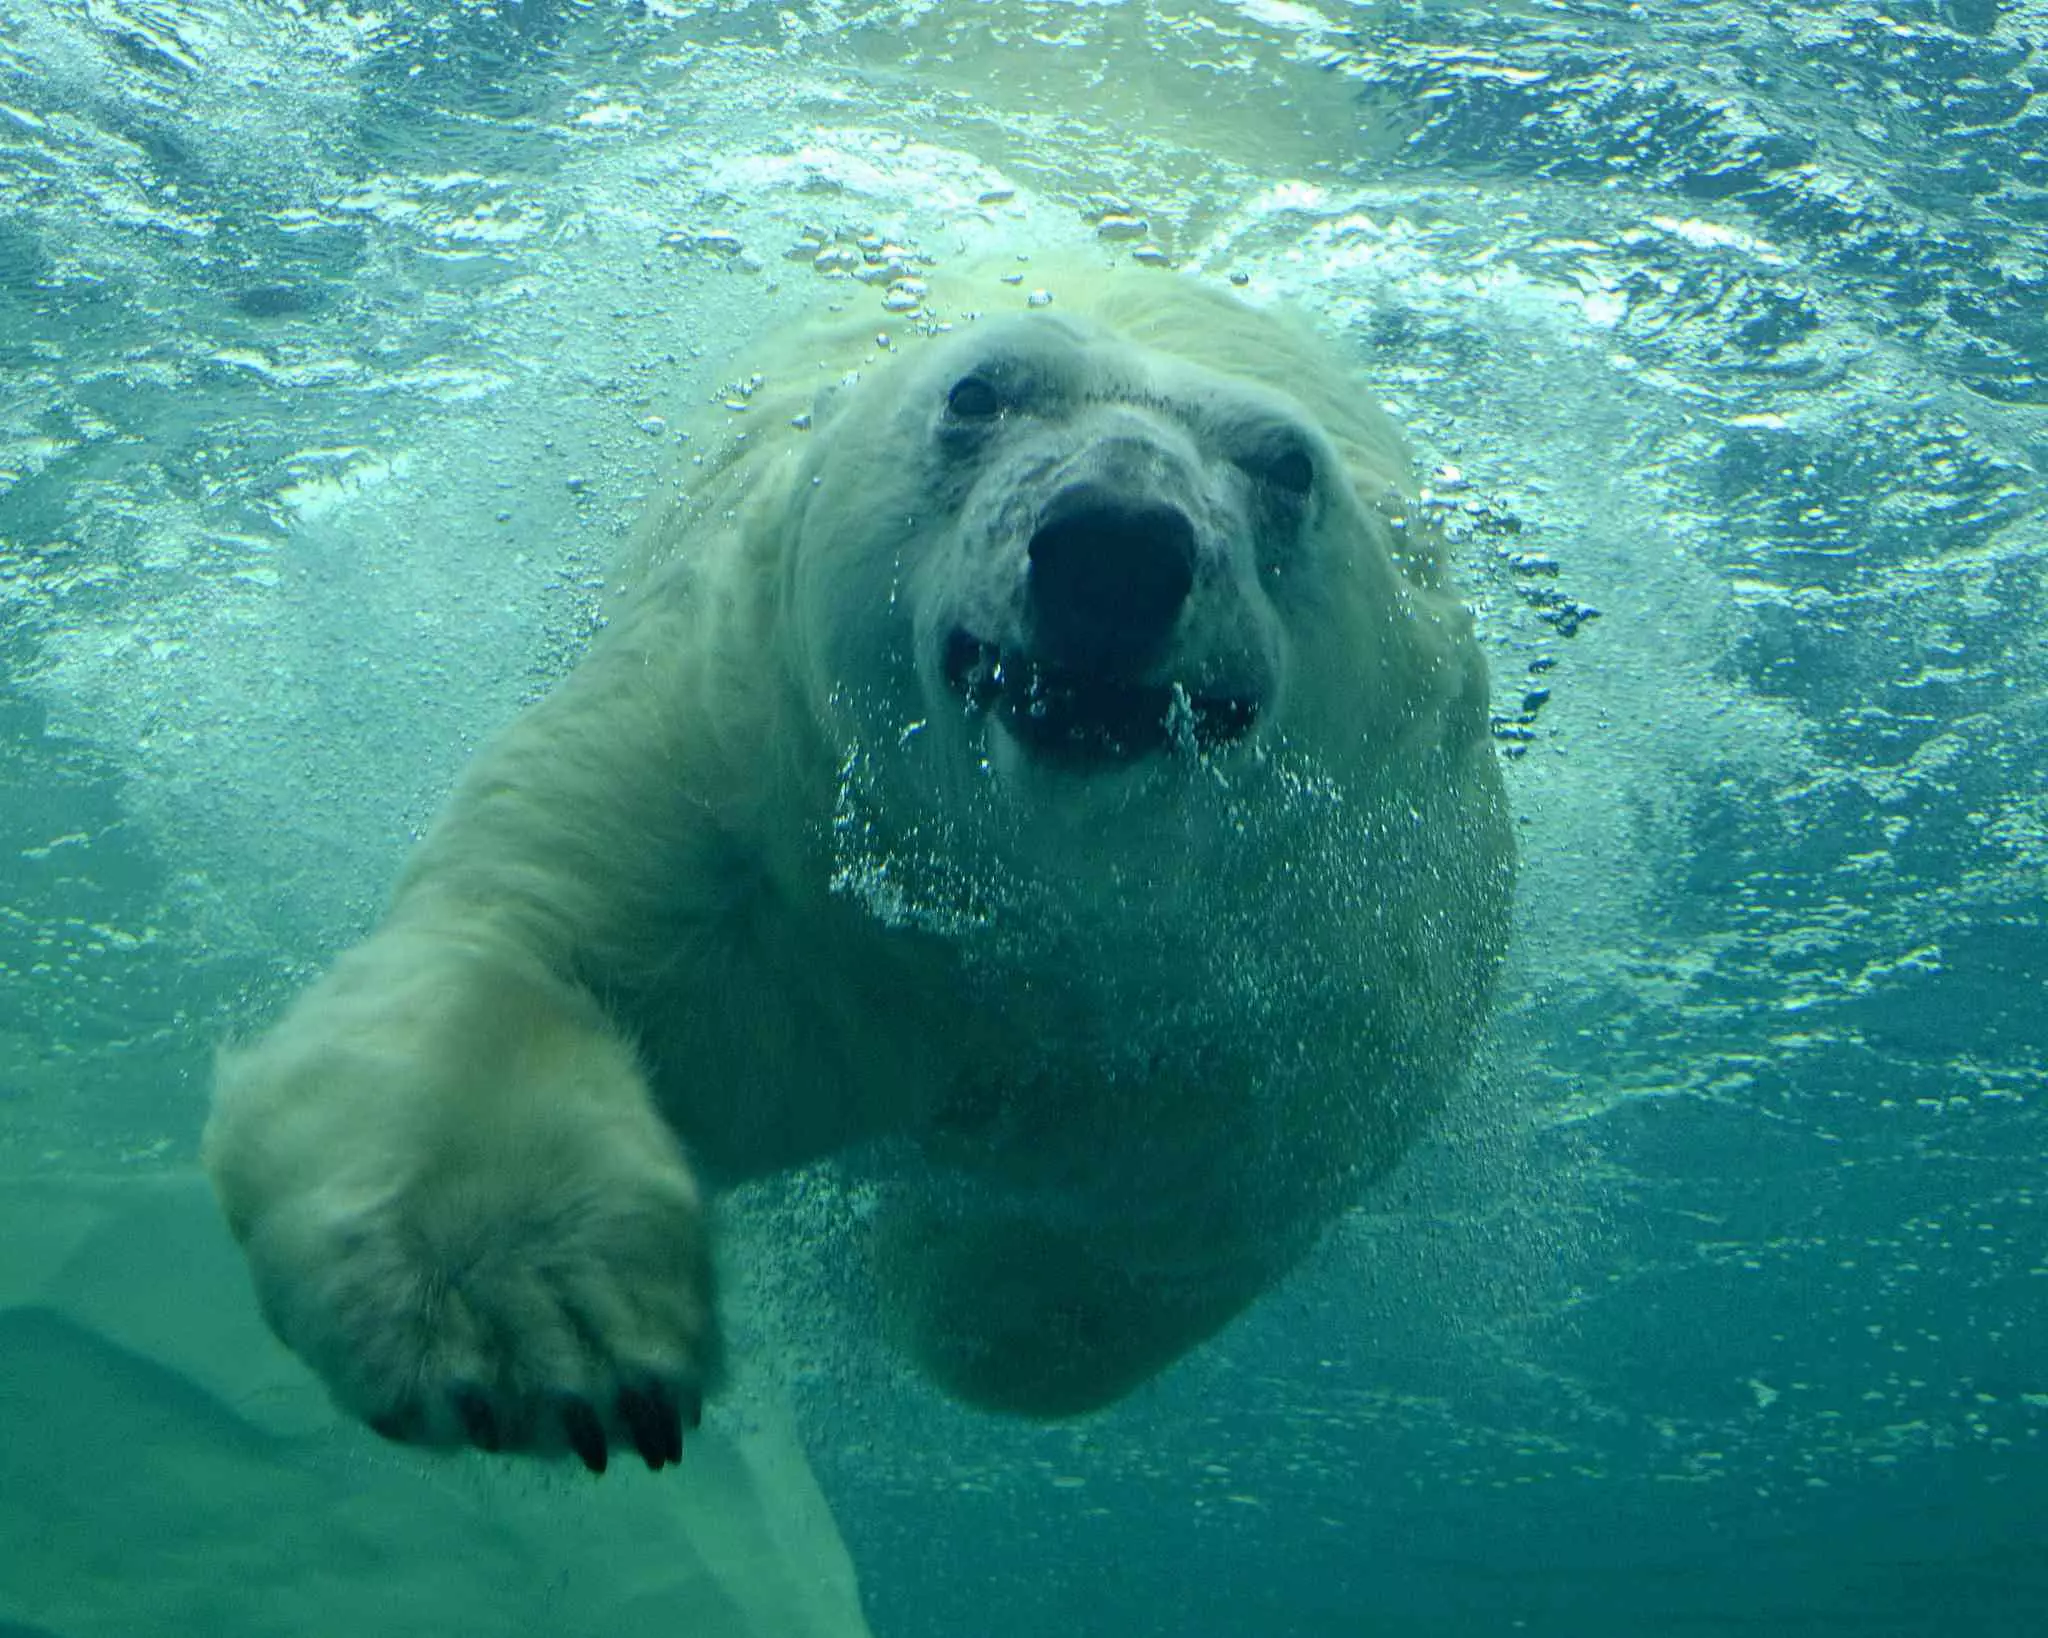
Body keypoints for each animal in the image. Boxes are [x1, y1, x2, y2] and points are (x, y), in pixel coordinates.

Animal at [203, 266, 1523, 1474]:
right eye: (977, 390)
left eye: (1289, 467)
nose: (1115, 545)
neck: (1001, 895)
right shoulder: (744, 768)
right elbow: (521, 960)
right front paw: (534, 1330)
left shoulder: (1305, 989)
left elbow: (1109, 1258)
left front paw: (915, 1264)